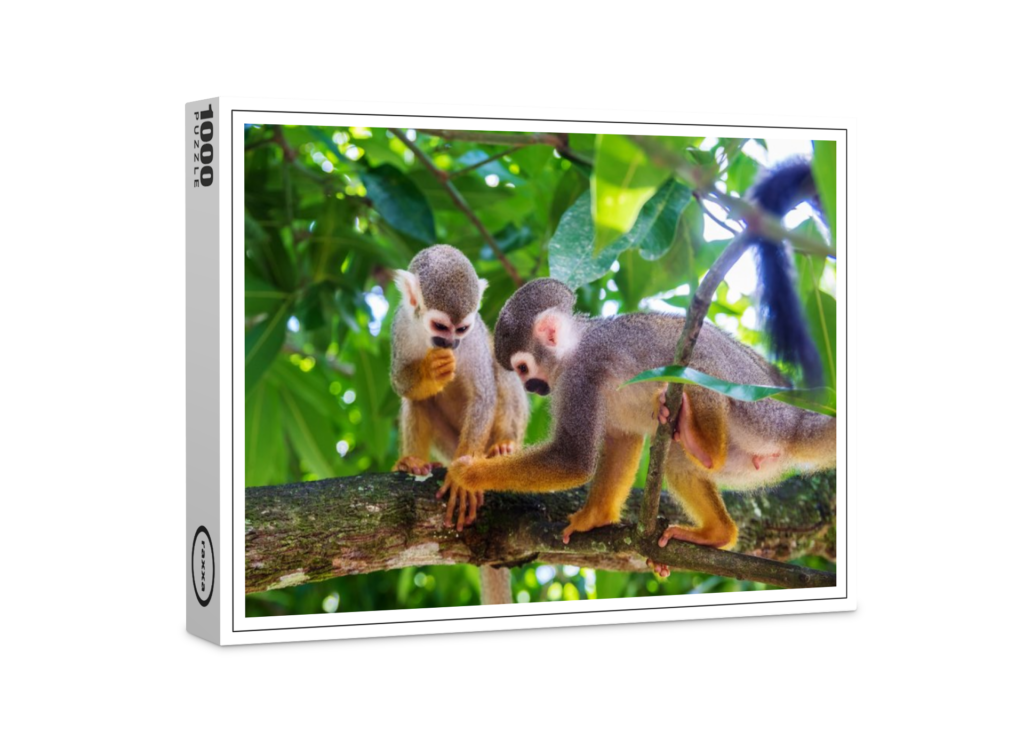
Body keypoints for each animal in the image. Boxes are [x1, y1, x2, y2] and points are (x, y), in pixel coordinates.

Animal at [390, 245, 530, 536]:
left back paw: (504, 446)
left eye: (462, 329)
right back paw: (414, 461)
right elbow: (399, 382)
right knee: (418, 399)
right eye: (441, 327)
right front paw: (431, 370)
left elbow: (483, 396)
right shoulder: (401, 323)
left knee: (500, 368)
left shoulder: (473, 336)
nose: (451, 343)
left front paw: (461, 479)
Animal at [445, 162, 836, 567]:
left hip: (757, 409)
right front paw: (594, 517)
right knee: (678, 459)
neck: (574, 348)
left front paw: (468, 473)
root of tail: (793, 419)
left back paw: (705, 448)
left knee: (699, 363)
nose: (529, 387)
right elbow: (621, 438)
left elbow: (573, 459)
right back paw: (718, 531)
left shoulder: (583, 371)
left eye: (522, 369)